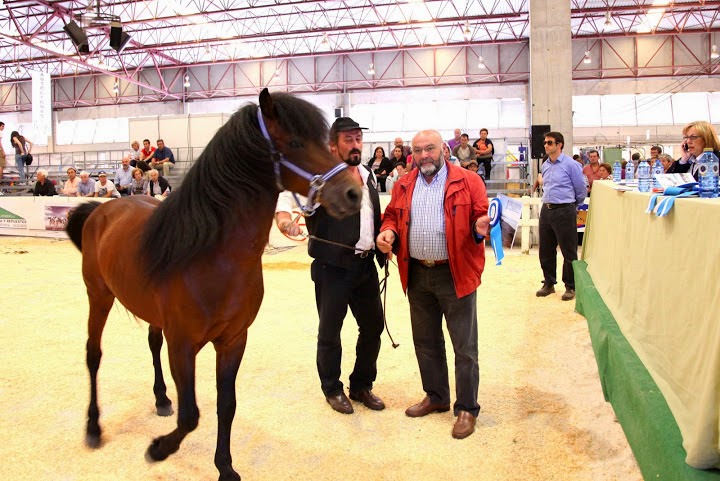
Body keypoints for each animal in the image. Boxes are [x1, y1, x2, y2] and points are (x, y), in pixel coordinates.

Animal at [65, 88, 362, 481]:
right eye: (296, 142)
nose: (353, 194)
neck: (214, 258)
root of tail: (101, 210)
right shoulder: (182, 345)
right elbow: (191, 415)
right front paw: (158, 449)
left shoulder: (233, 340)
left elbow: (226, 405)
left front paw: (225, 467)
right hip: (99, 296)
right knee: (93, 355)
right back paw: (93, 427)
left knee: (151, 345)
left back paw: (161, 399)